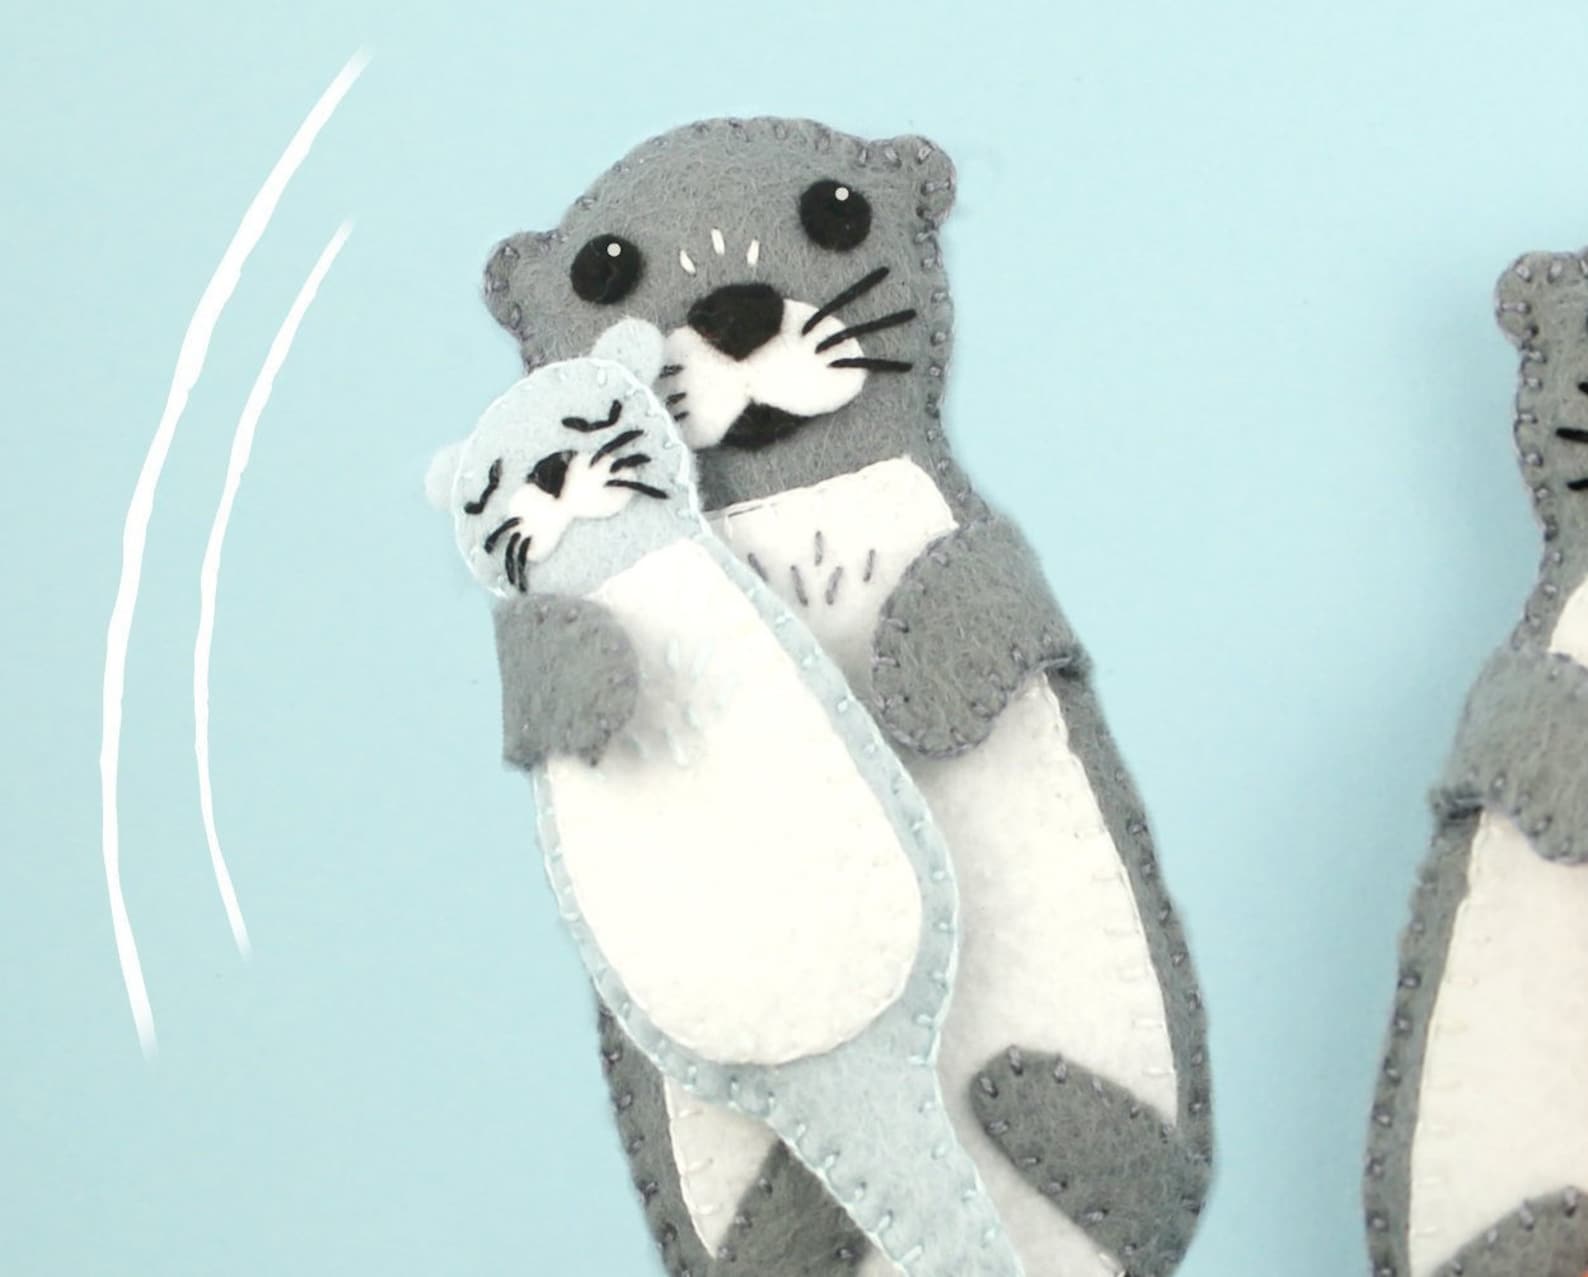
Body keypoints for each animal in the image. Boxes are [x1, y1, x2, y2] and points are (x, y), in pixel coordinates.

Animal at [481, 119, 1212, 1277]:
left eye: (836, 209)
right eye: (603, 268)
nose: (731, 308)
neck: (802, 498)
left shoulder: (974, 536)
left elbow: (987, 588)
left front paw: (917, 697)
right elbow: (541, 676)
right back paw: (800, 1207)